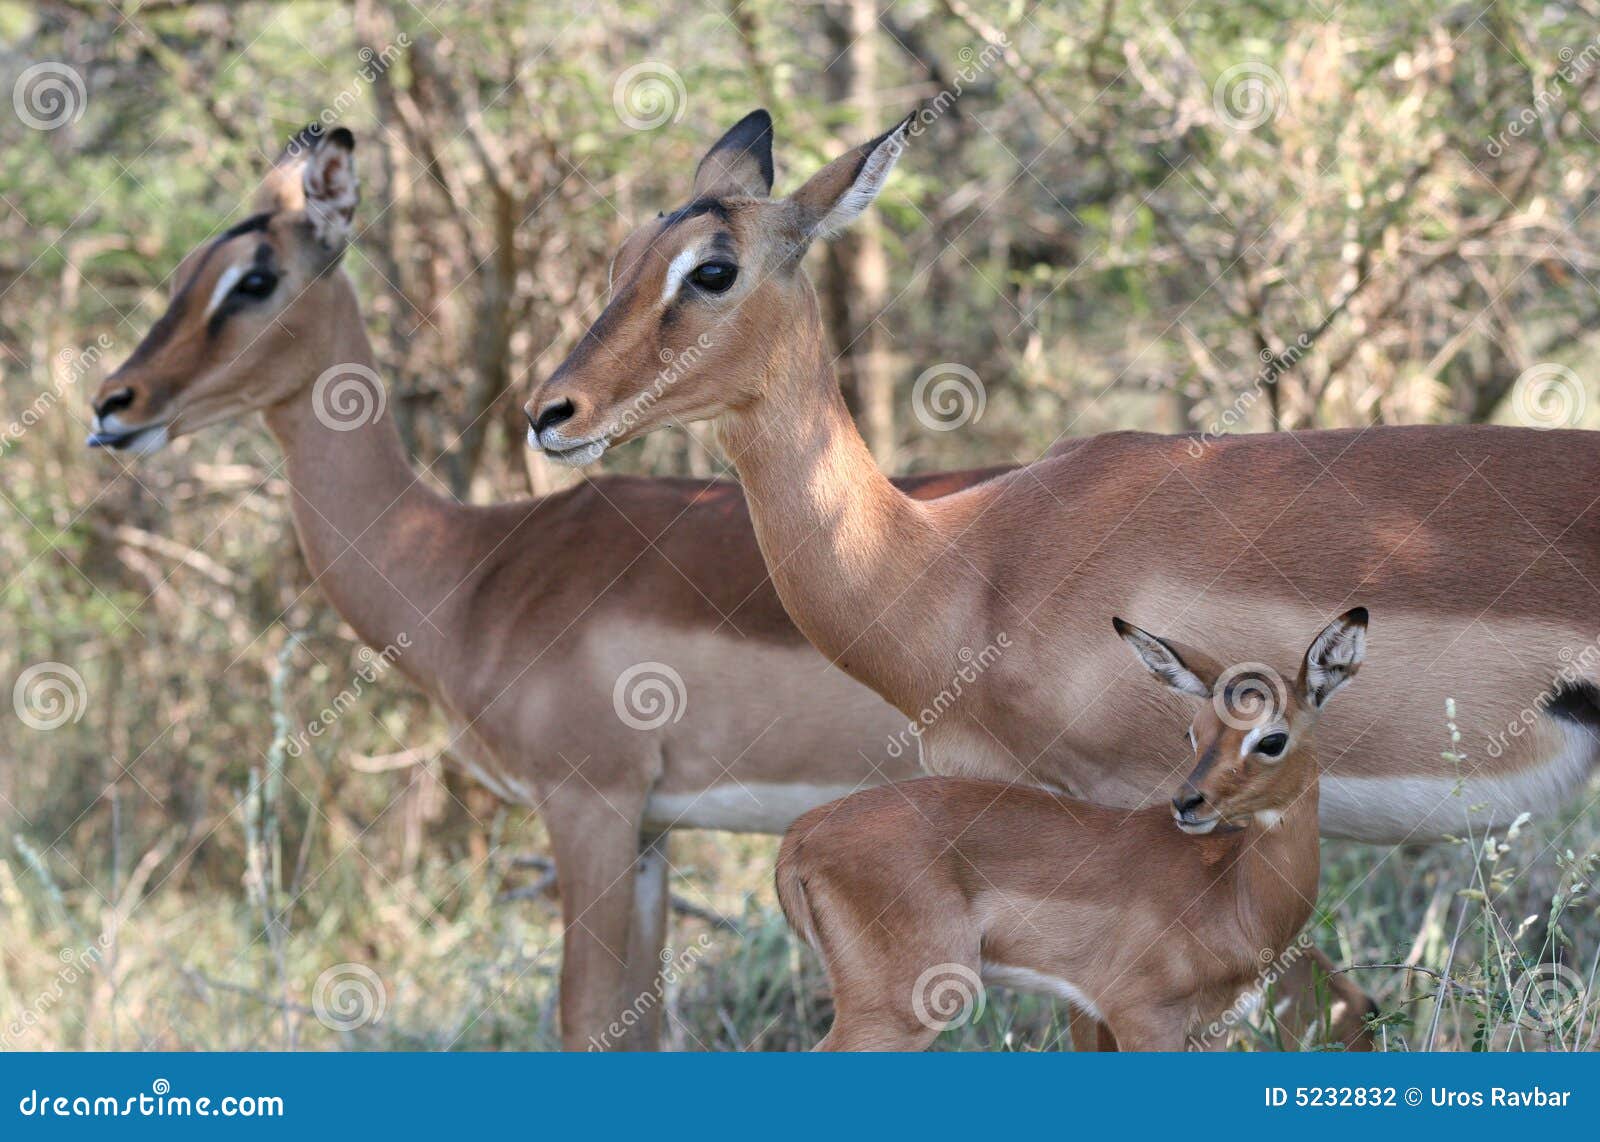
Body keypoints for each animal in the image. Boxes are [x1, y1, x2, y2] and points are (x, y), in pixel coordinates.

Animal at [85, 124, 1021, 1050]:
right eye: (186, 270)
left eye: (255, 278)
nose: (113, 405)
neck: (471, 572)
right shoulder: (651, 831)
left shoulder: (589, 807)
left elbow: (586, 1020)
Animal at [776, 609, 1368, 1051]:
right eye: (1192, 732)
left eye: (1272, 738)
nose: (1186, 804)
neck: (1231, 891)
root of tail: (800, 836)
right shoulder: (1142, 1016)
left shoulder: (1206, 1026)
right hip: (901, 1008)